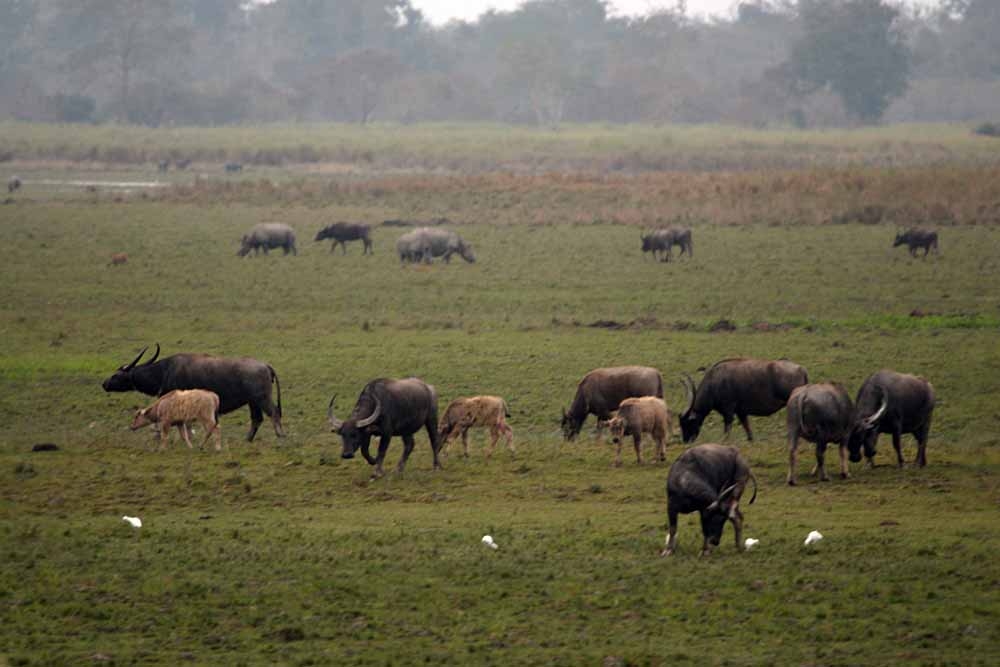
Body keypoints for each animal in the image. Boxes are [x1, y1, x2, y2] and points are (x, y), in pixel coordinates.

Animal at [102, 344, 284, 441]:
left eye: (116, 375)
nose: (104, 384)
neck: (164, 371)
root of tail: (266, 365)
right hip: (253, 402)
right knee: (257, 419)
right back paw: (247, 440)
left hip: (261, 399)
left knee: (273, 413)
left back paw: (280, 436)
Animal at [679, 358, 808, 443]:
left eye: (688, 423)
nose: (686, 441)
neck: (714, 381)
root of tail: (801, 369)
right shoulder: (741, 412)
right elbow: (746, 427)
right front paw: (750, 439)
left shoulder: (728, 411)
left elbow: (727, 428)